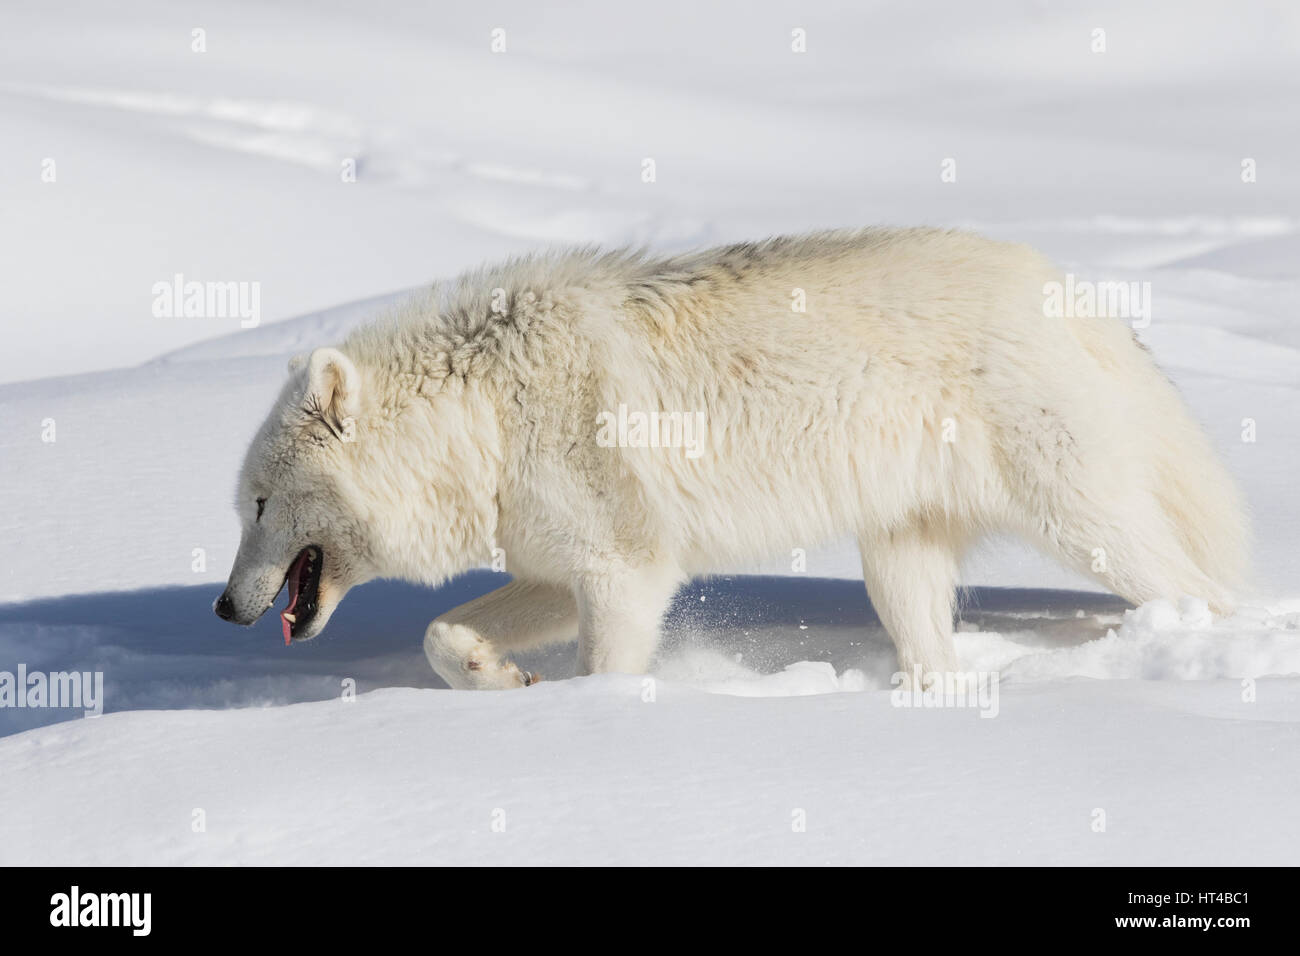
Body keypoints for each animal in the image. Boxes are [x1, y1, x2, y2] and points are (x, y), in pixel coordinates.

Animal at [214, 228, 1248, 688]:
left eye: (260, 504)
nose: (223, 609)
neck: (486, 418)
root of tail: (1076, 292)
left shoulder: (626, 573)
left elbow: (608, 669)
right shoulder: (562, 565)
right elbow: (441, 631)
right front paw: (497, 678)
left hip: (1082, 520)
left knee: (1206, 589)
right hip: (898, 553)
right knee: (932, 645)